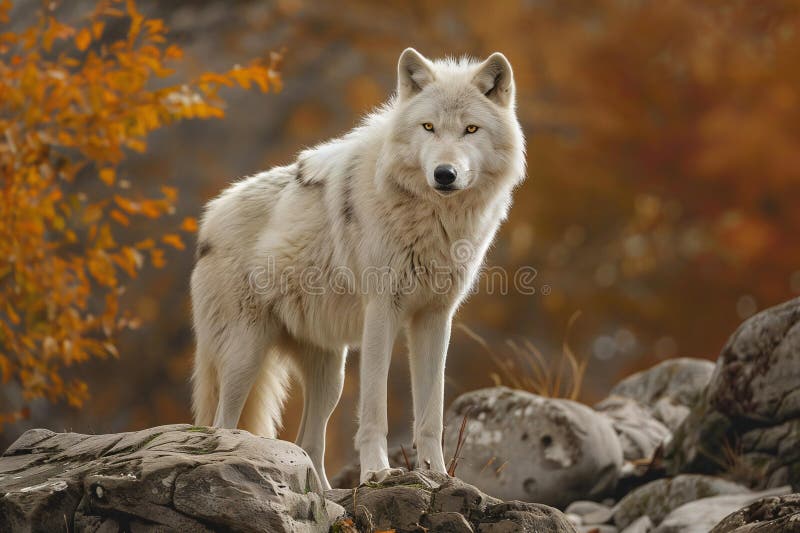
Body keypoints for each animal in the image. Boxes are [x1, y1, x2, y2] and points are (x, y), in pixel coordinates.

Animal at [191, 48, 525, 489]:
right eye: (429, 127)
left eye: (471, 129)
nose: (444, 174)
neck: (435, 219)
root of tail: (211, 214)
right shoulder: (382, 311)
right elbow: (374, 410)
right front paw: (377, 473)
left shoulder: (435, 317)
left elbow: (431, 414)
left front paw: (437, 475)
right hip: (245, 358)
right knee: (223, 422)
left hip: (331, 375)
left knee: (308, 443)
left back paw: (324, 494)